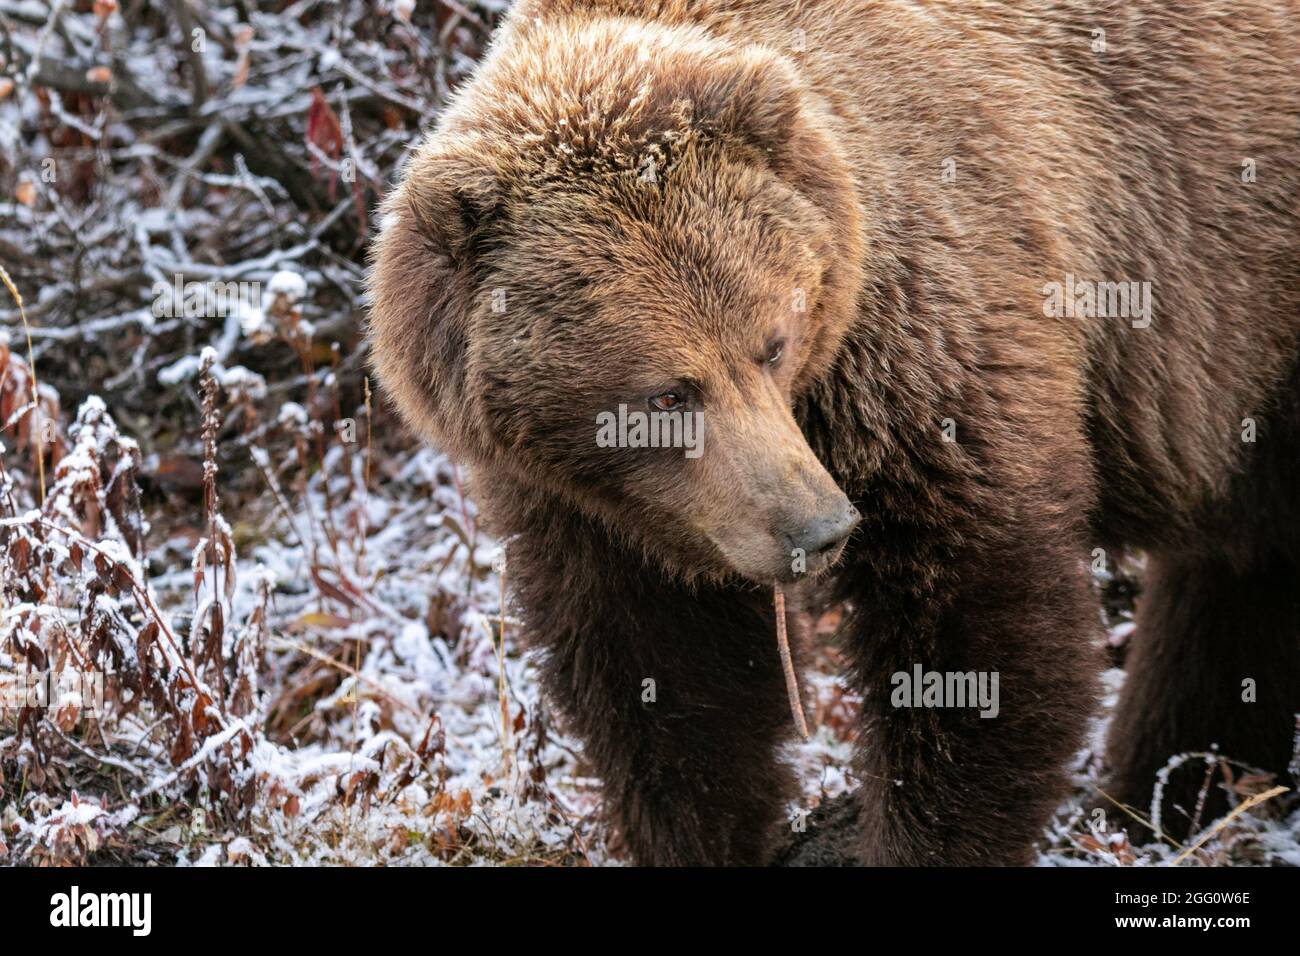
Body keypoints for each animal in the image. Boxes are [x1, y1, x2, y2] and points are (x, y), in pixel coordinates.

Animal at [367, 0, 1300, 865]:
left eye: (772, 342)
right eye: (667, 393)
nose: (816, 528)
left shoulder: (925, 343)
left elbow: (976, 618)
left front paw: (915, 835)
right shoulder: (587, 504)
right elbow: (661, 676)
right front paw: (713, 832)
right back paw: (1174, 792)